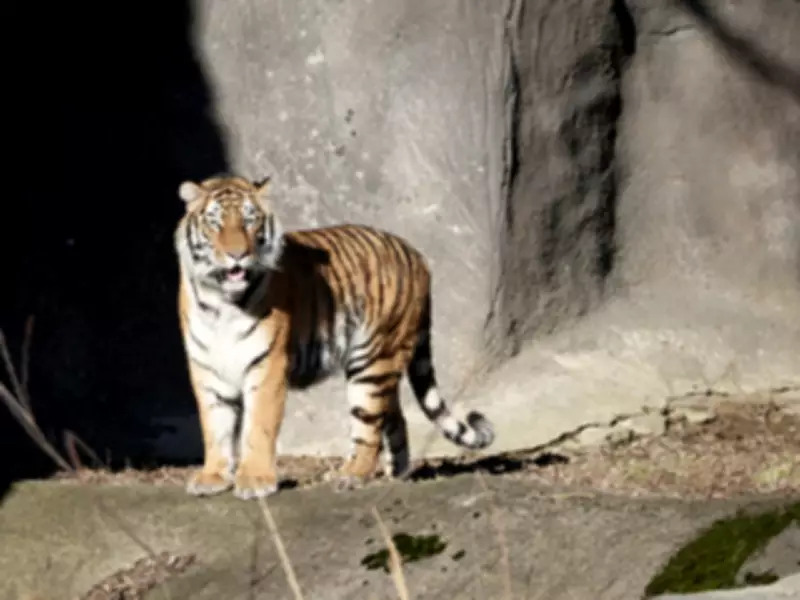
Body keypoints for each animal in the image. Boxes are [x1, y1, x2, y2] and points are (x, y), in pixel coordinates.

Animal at [173, 174, 495, 500]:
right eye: (214, 222)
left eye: (250, 220)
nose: (237, 254)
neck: (221, 303)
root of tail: (417, 256)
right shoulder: (207, 368)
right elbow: (215, 427)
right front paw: (212, 477)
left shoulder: (268, 365)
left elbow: (258, 426)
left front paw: (255, 480)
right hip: (384, 364)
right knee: (394, 416)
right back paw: (396, 474)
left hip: (372, 361)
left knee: (369, 427)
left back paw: (351, 475)